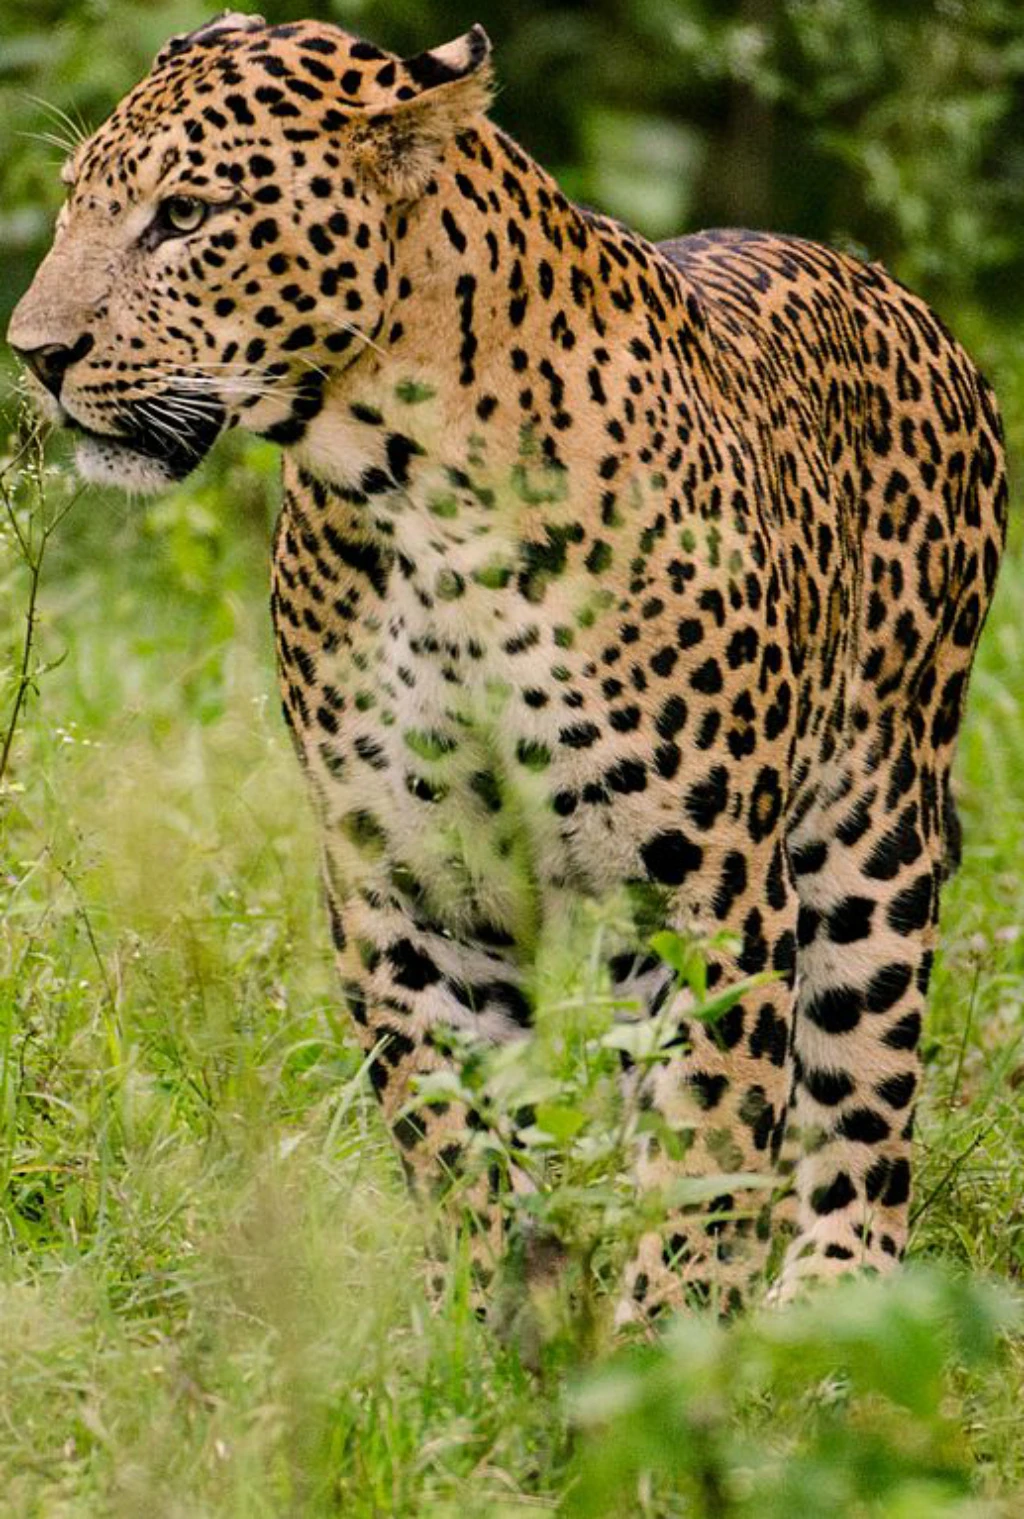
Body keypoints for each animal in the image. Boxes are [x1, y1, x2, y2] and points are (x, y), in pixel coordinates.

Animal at [8, 11, 1007, 1322]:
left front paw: (657, 1350)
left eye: (183, 216)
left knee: (862, 1109)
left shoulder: (708, 895)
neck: (410, 494)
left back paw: (827, 1306)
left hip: (872, 836)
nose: (34, 353)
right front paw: (486, 1333)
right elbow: (456, 1137)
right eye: (75, 200)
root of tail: (900, 296)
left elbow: (703, 1151)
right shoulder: (410, 885)